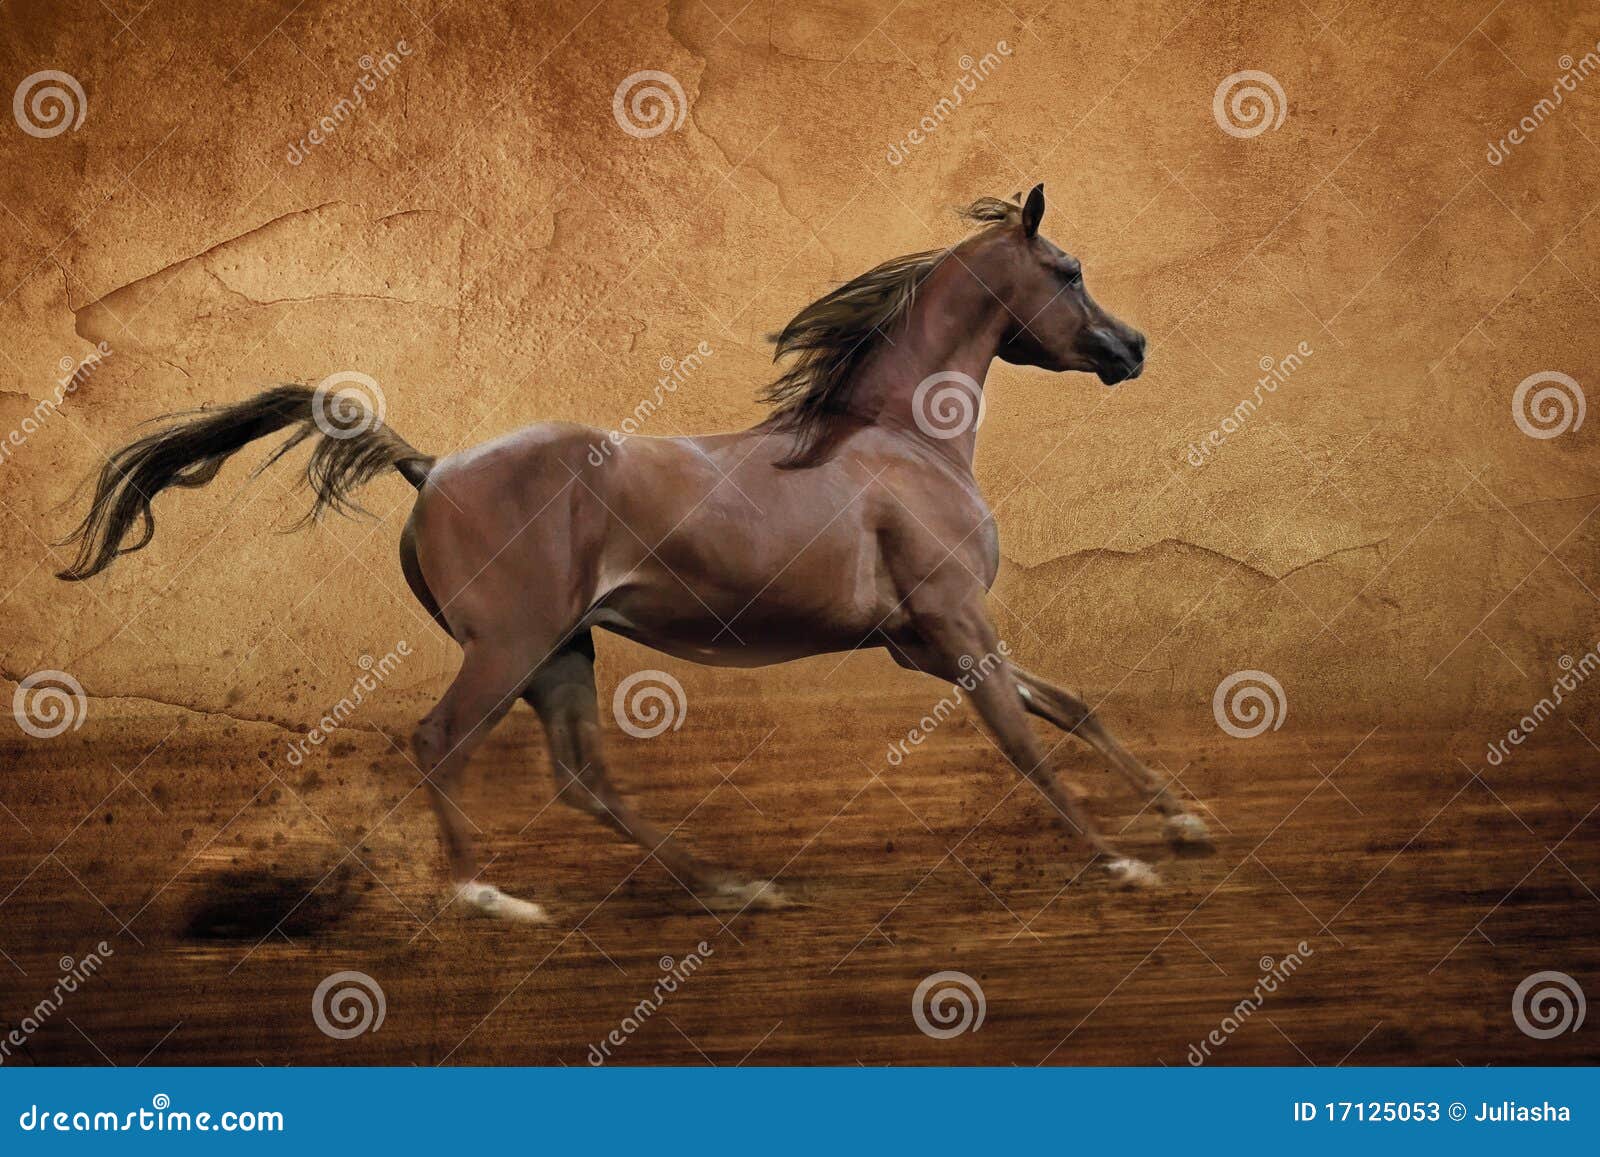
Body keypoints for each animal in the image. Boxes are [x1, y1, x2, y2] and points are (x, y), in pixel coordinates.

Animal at [57, 184, 1211, 923]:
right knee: (442, 744)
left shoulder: (924, 639)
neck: (897, 441)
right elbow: (1024, 739)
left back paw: (731, 886)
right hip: (510, 646)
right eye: (1066, 269)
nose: (1134, 347)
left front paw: (1186, 821)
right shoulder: (954, 621)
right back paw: (489, 895)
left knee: (581, 778)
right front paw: (1119, 862)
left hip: (563, 650)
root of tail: (430, 467)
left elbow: (1072, 707)